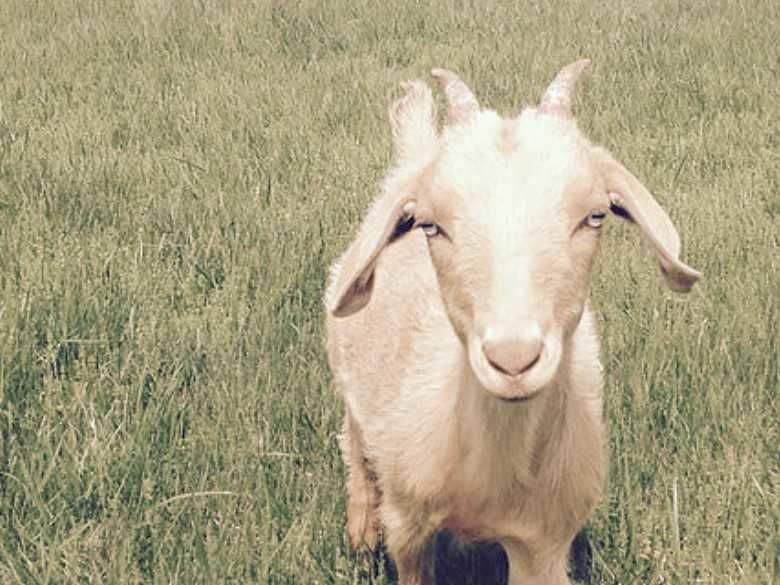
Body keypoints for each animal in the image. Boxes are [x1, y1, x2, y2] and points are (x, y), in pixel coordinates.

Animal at [324, 60, 700, 585]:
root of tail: (414, 158)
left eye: (596, 216)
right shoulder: (408, 524)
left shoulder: (543, 541)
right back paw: (360, 533)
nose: (513, 359)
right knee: (354, 438)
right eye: (430, 226)